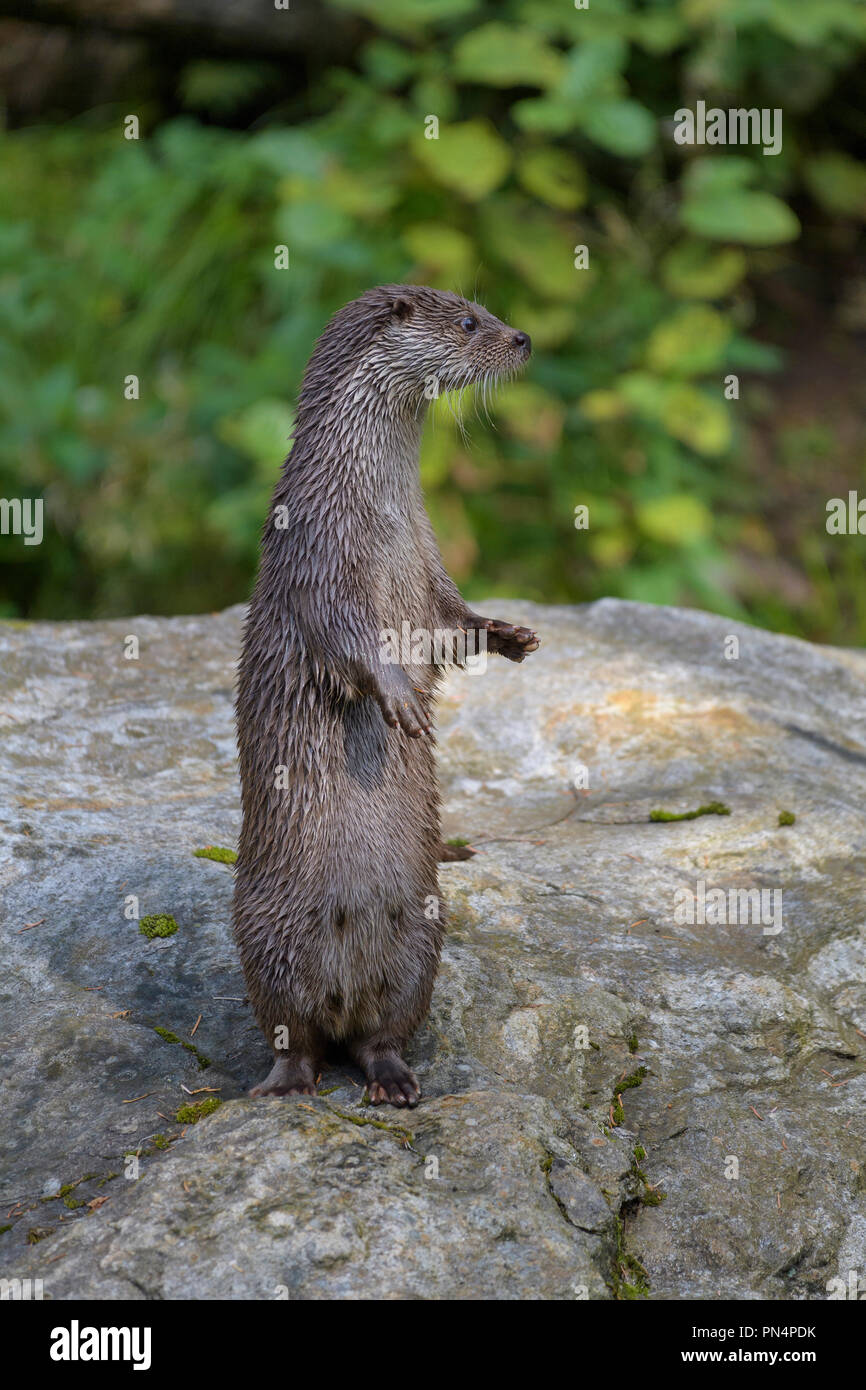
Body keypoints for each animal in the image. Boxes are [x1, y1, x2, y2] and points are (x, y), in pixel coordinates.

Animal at [233, 284, 539, 1107]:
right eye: (468, 321)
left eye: (488, 310)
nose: (523, 340)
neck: (385, 513)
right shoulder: (319, 555)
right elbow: (348, 637)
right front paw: (398, 701)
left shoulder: (430, 570)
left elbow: (453, 625)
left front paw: (510, 634)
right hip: (261, 931)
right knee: (293, 1033)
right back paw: (283, 1084)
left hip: (422, 933)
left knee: (385, 1032)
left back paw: (395, 1080)